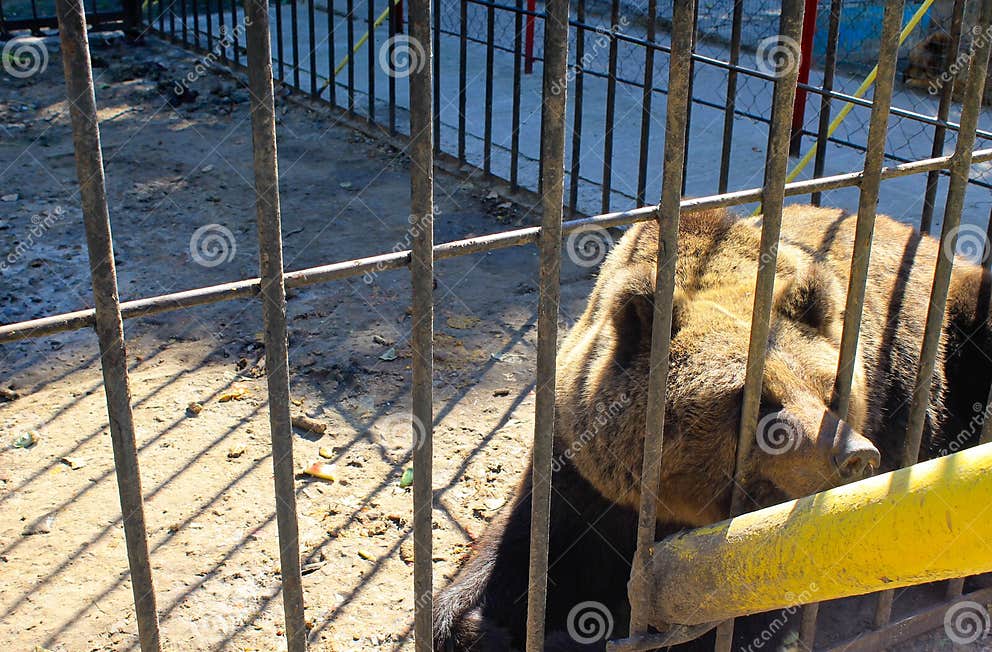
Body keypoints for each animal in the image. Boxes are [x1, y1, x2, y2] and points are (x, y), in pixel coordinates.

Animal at [433, 204, 992, 651]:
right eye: (762, 404)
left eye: (831, 392)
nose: (856, 456)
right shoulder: (582, 470)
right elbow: (522, 548)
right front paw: (475, 623)